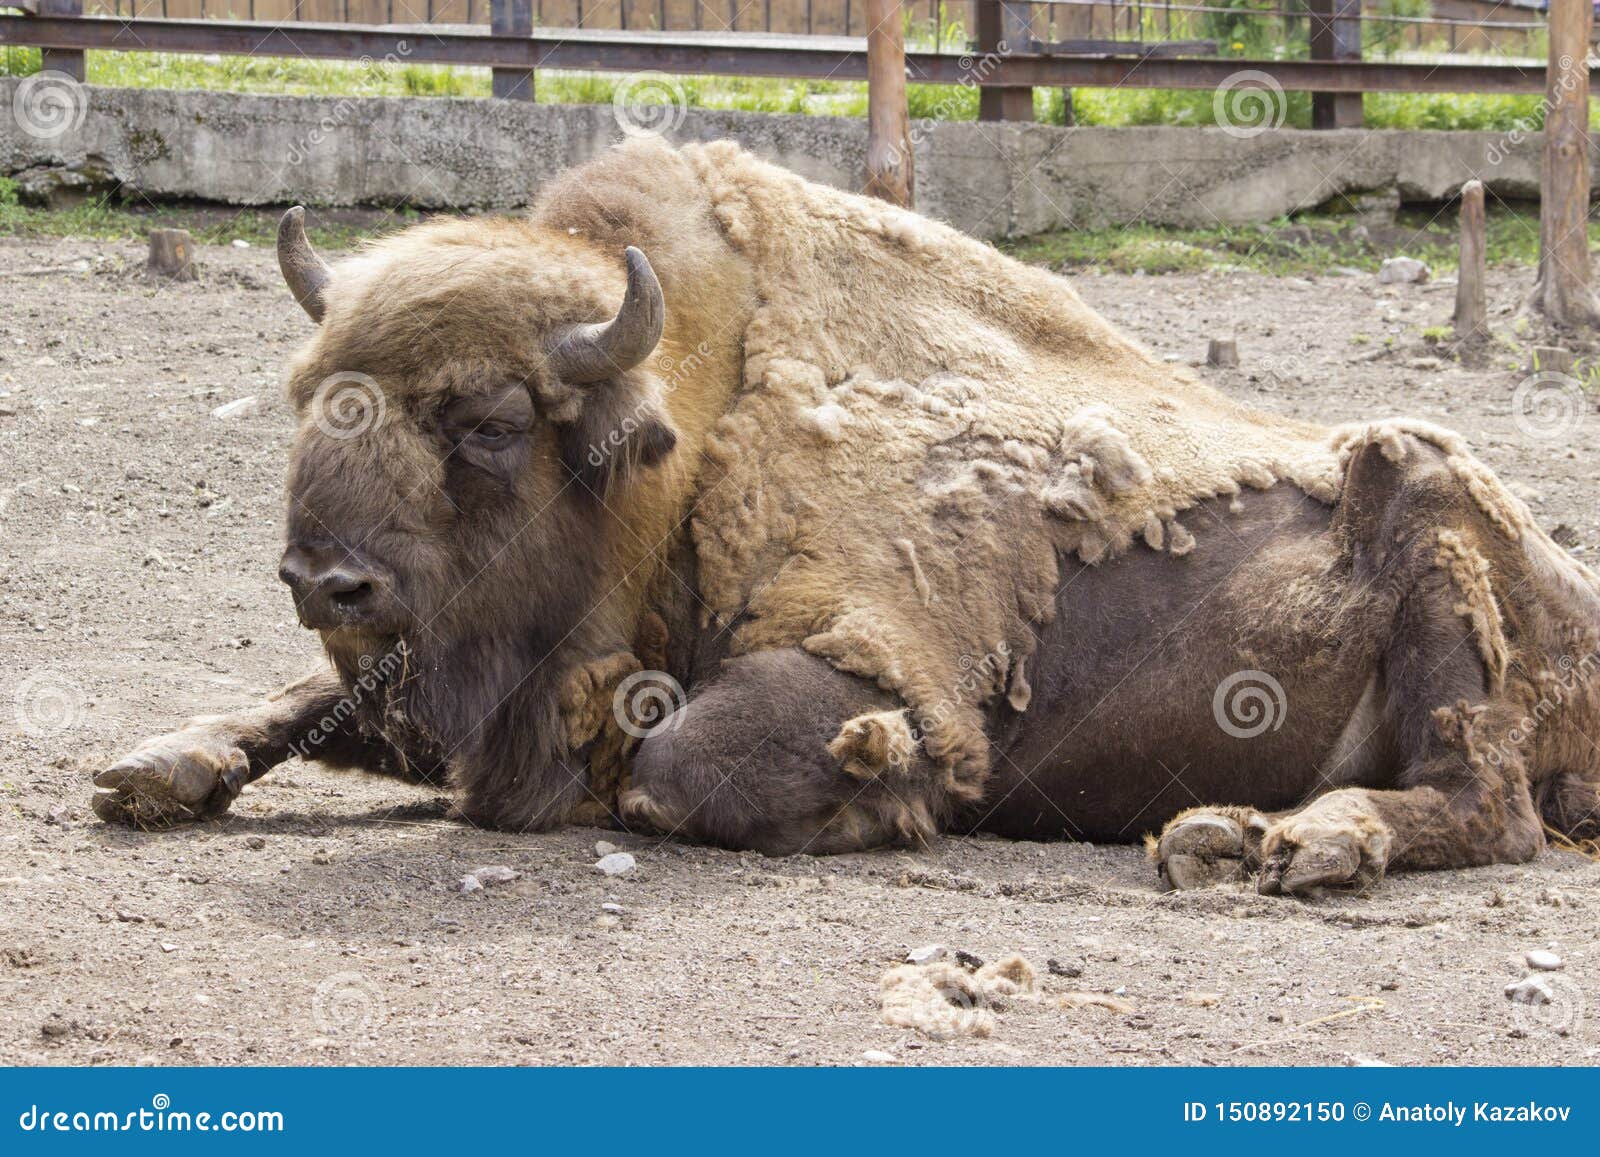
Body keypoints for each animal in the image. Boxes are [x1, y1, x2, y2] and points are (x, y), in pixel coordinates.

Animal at [94, 138, 1600, 896]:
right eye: (315, 397)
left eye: (491, 422)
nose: (323, 578)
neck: (687, 434)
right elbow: (300, 701)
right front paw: (150, 768)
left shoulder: (870, 651)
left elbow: (679, 764)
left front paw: (877, 802)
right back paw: (1225, 834)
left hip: (1431, 521)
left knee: (1487, 803)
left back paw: (1298, 842)